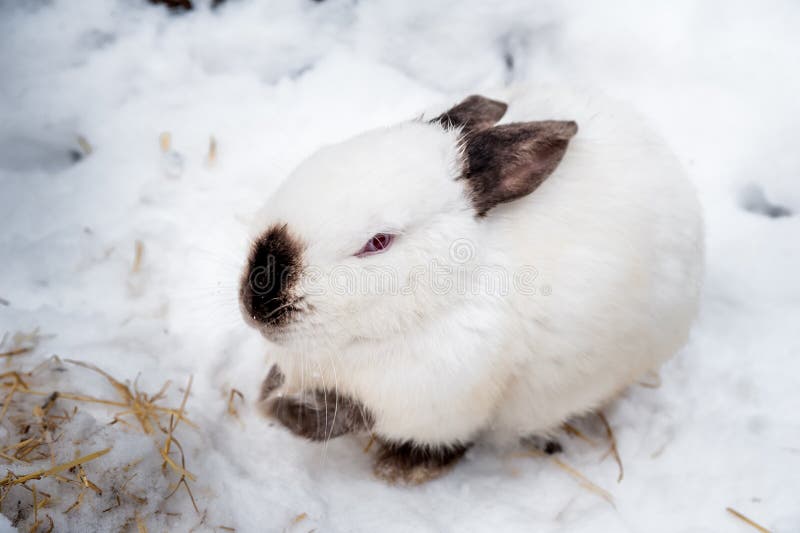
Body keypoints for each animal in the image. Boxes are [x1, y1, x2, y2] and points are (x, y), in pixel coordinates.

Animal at [239, 85, 704, 484]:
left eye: (378, 242)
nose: (256, 300)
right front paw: (270, 393)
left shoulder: (432, 396)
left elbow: (357, 416)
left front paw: (281, 412)